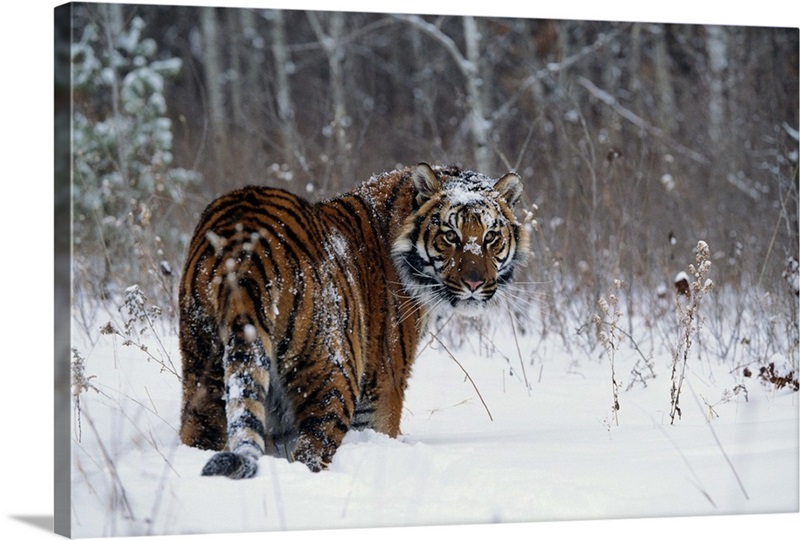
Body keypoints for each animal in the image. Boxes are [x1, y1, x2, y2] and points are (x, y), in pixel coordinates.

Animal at [178, 162, 529, 479]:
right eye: (451, 236)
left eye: (491, 236)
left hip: (203, 364)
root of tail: (244, 252)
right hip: (332, 374)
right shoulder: (383, 382)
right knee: (312, 449)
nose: (474, 283)